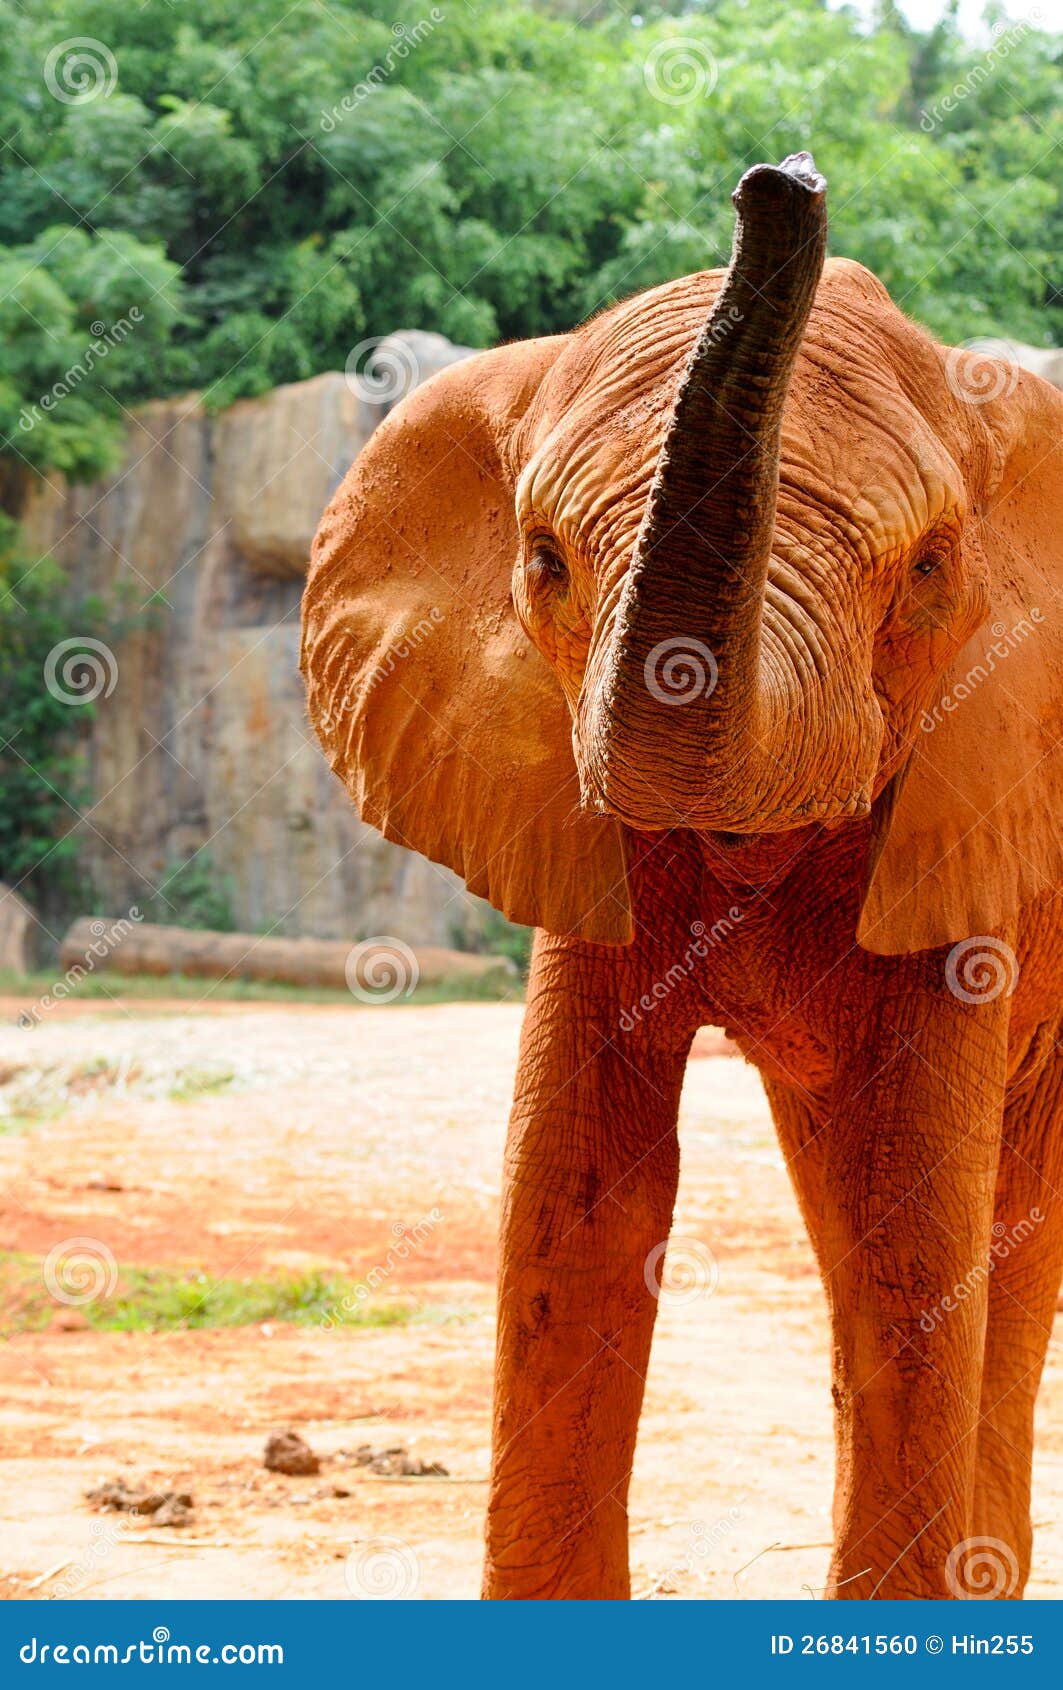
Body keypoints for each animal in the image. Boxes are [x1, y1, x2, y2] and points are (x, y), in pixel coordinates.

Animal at [301, 152, 1063, 1600]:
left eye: (928, 572)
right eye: (544, 561)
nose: (781, 178)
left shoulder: (970, 813)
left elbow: (917, 1232)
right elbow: (577, 1197)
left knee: (1000, 1223)